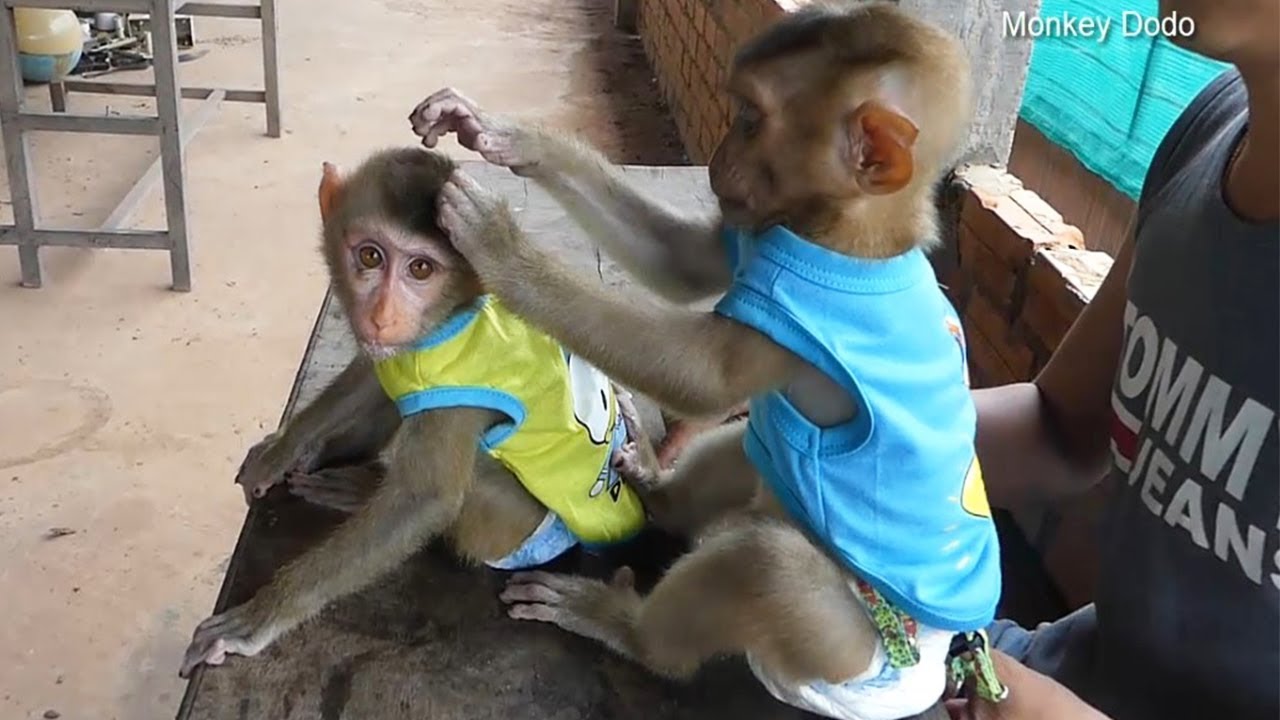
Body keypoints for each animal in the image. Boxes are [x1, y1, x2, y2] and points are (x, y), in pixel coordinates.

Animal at [179, 147, 663, 678]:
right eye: (370, 256)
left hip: (515, 533)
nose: (382, 314)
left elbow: (425, 499)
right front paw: (281, 451)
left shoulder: (462, 388)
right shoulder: (409, 350)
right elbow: (376, 372)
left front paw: (257, 619)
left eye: (421, 270)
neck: (451, 317)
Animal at [410, 3, 1007, 719]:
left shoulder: (799, 310)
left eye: (749, 119)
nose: (720, 161)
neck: (851, 237)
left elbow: (700, 377)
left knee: (764, 565)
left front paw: (499, 243)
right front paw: (508, 137)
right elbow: (684, 262)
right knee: (754, 451)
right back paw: (657, 489)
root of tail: (943, 663)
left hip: (857, 660)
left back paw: (629, 631)